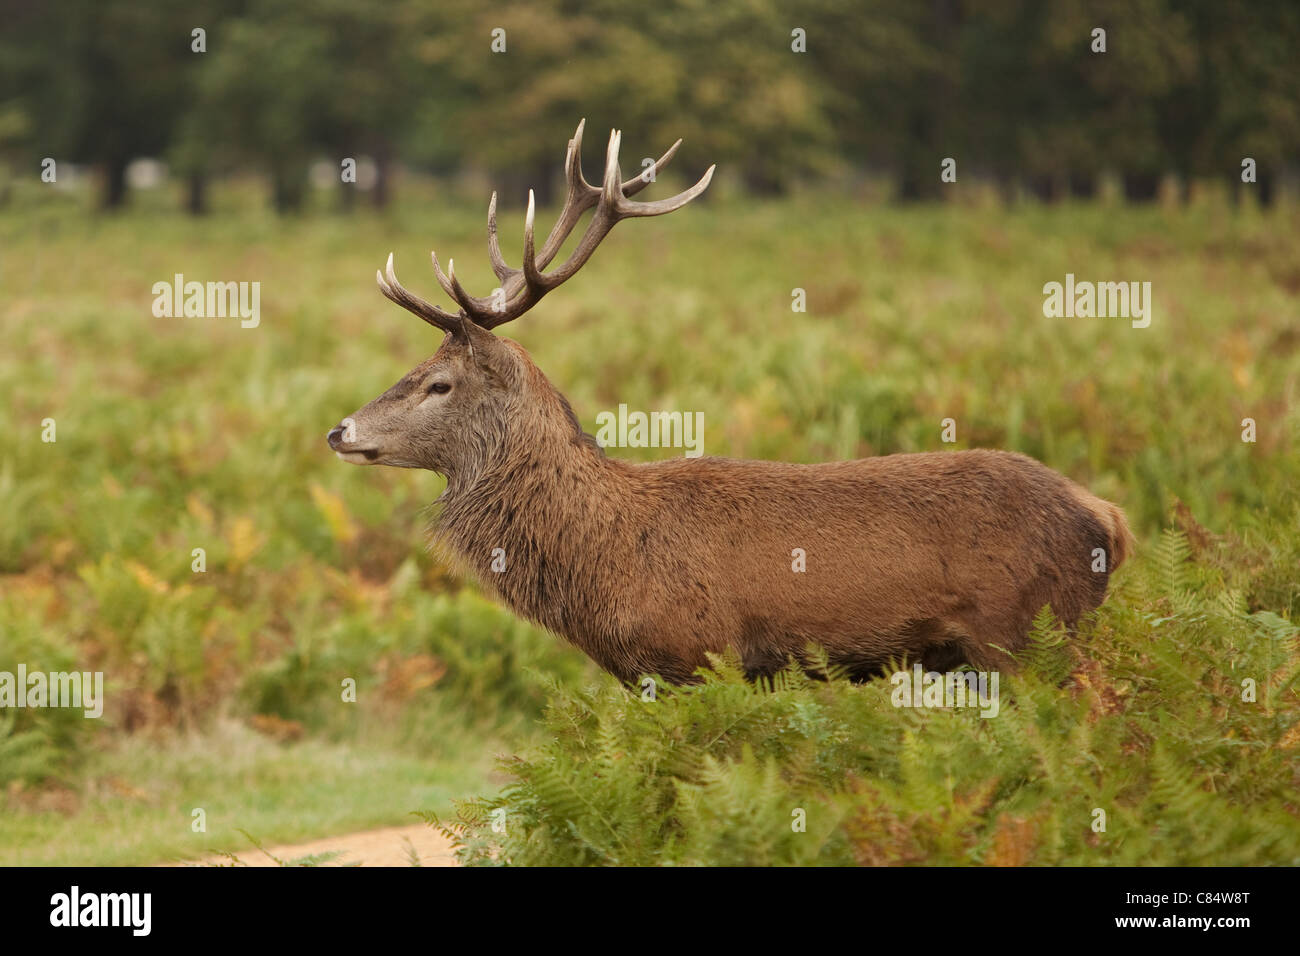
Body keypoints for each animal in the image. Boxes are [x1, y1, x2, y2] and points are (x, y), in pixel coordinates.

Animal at [327, 120, 1134, 685]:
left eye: (440, 382)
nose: (340, 430)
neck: (602, 568)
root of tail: (1109, 519)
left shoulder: (697, 655)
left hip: (1029, 635)